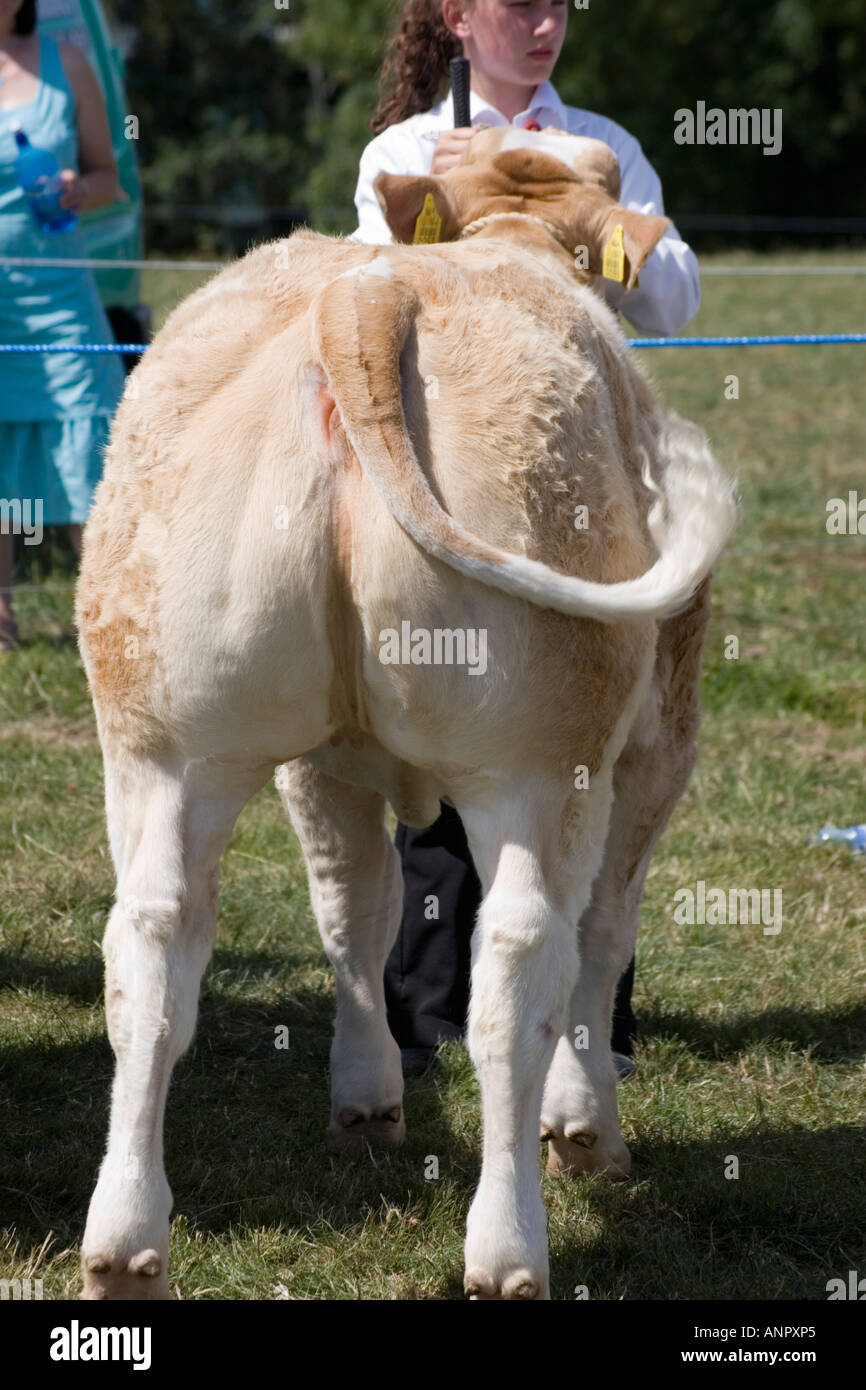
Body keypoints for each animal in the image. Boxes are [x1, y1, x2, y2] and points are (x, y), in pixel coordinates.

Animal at [74, 126, 738, 1300]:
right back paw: (509, 1246)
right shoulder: (657, 741)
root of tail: (368, 298)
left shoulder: (325, 758)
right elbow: (603, 931)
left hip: (162, 741)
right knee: (521, 955)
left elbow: (355, 910)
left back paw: (123, 1242)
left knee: (152, 940)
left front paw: (367, 1099)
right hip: (540, 758)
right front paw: (586, 1132)